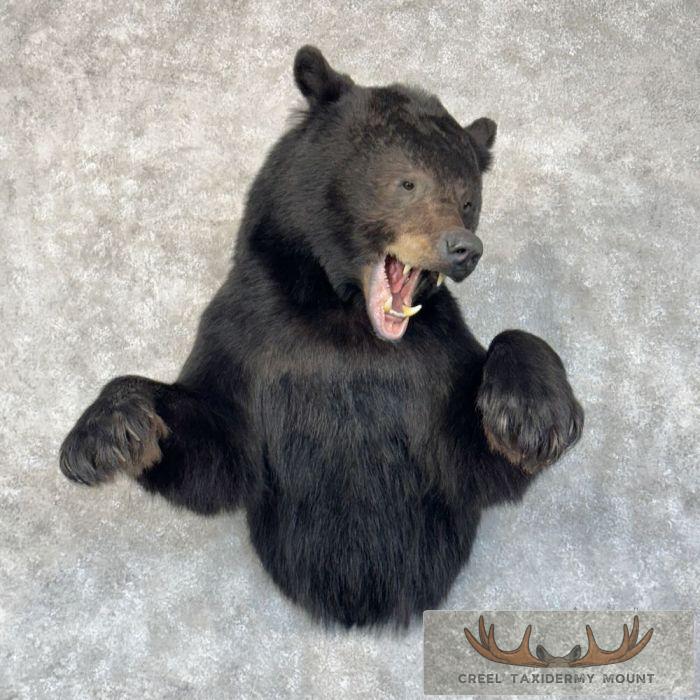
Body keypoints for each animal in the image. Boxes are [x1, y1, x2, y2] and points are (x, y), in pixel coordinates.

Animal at [60, 46, 583, 627]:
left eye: (469, 198)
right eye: (408, 182)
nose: (463, 247)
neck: (344, 314)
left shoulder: (434, 361)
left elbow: (479, 455)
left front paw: (532, 417)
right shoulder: (250, 333)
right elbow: (216, 451)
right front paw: (104, 436)